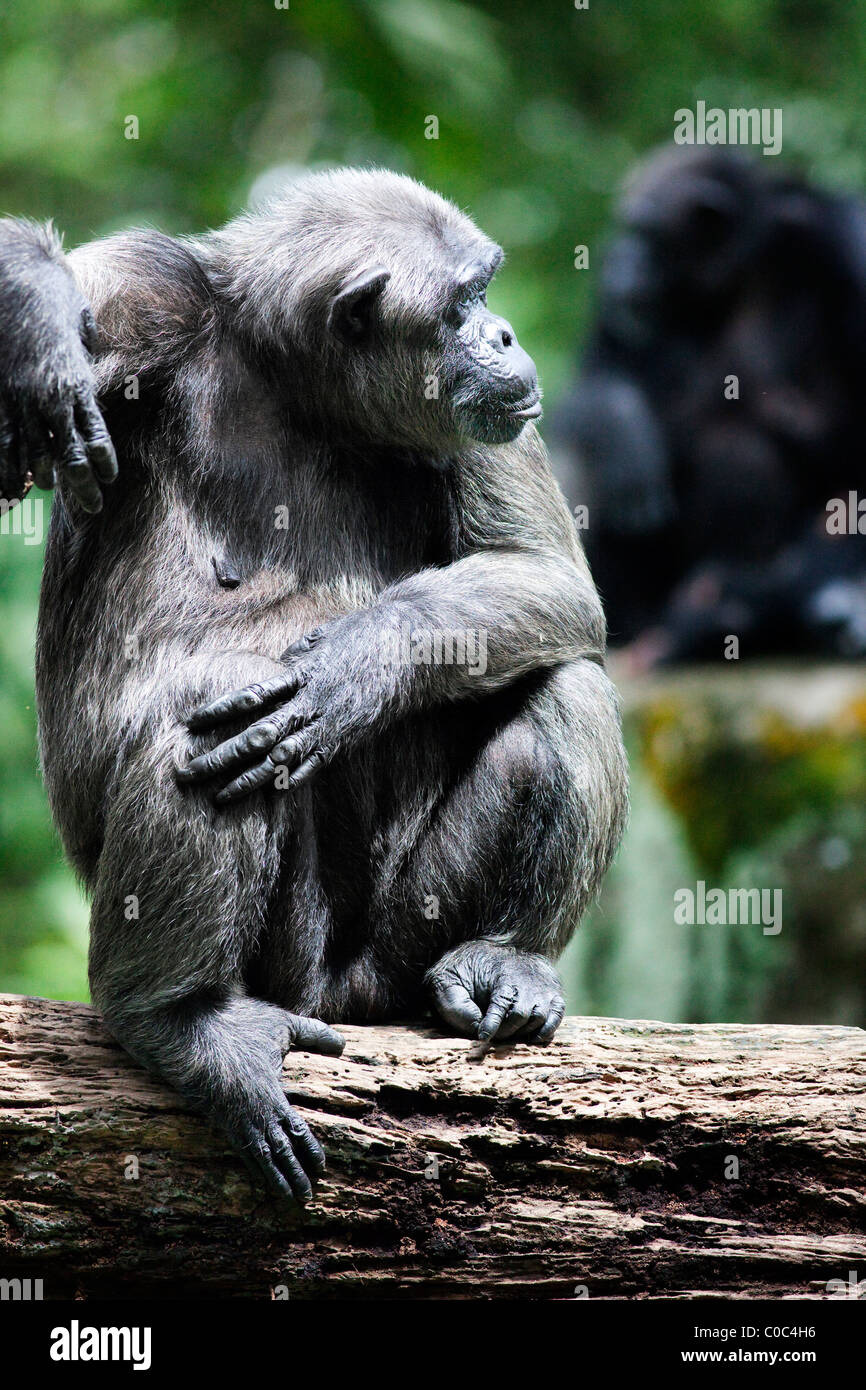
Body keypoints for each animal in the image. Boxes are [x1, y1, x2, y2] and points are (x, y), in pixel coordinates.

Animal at [0, 169, 628, 1202]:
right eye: (464, 303)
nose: (503, 335)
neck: (312, 394)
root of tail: (341, 993)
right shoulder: (152, 293)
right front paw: (45, 337)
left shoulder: (493, 419)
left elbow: (544, 576)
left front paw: (345, 671)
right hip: (287, 963)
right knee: (200, 726)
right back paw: (186, 1019)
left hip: (397, 955)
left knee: (565, 685)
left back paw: (505, 959)